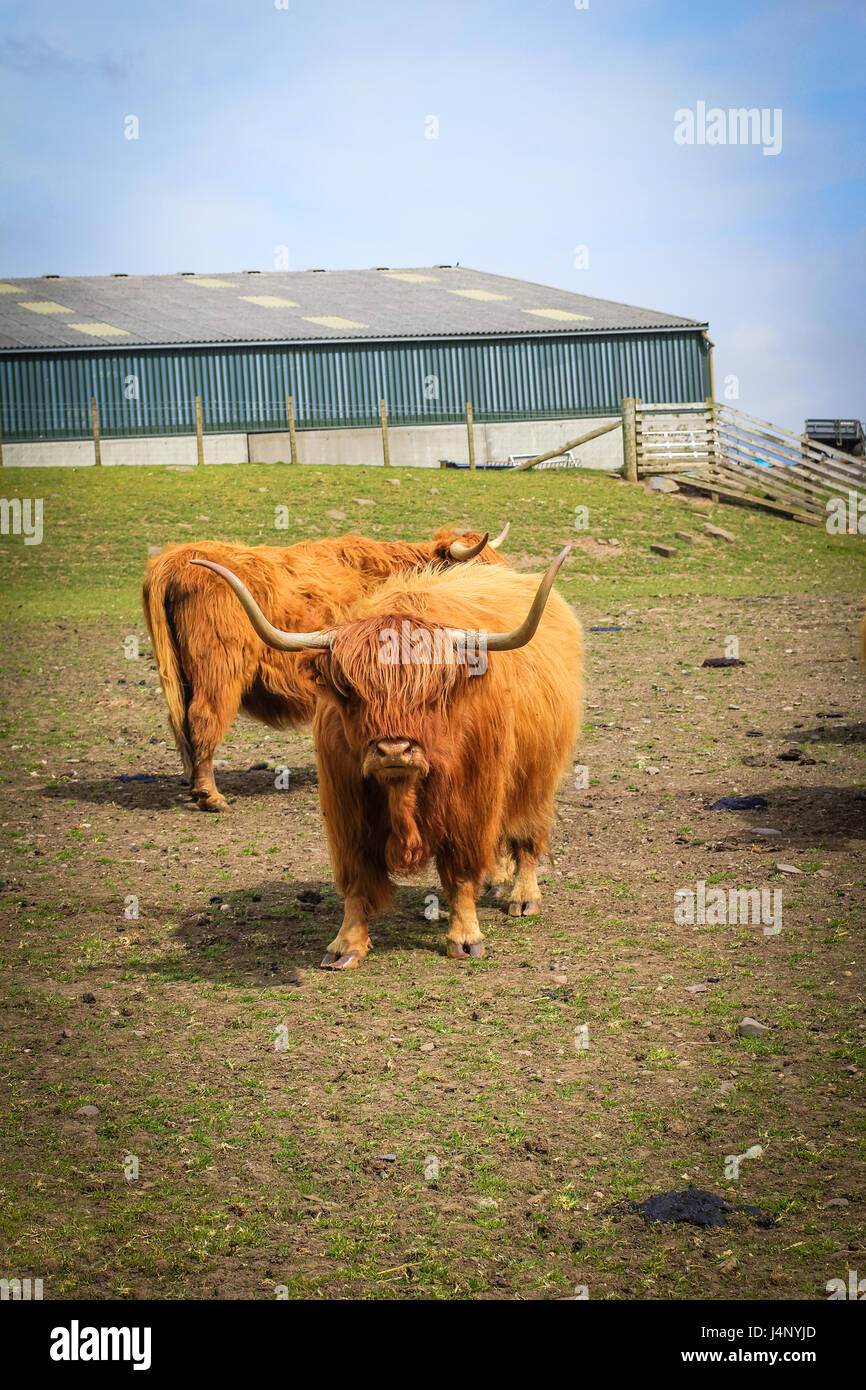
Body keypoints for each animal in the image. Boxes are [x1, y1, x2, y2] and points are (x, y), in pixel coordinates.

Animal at [143, 524, 509, 811]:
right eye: (475, 575)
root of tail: (176, 558)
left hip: (181, 671)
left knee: (181, 721)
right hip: (217, 669)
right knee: (203, 717)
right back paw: (210, 795)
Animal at [190, 548, 583, 967]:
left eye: (432, 689)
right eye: (350, 687)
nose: (394, 750)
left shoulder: (469, 802)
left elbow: (461, 872)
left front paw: (465, 937)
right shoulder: (347, 807)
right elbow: (357, 877)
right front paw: (346, 945)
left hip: (535, 776)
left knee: (526, 833)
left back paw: (523, 897)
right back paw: (496, 879)